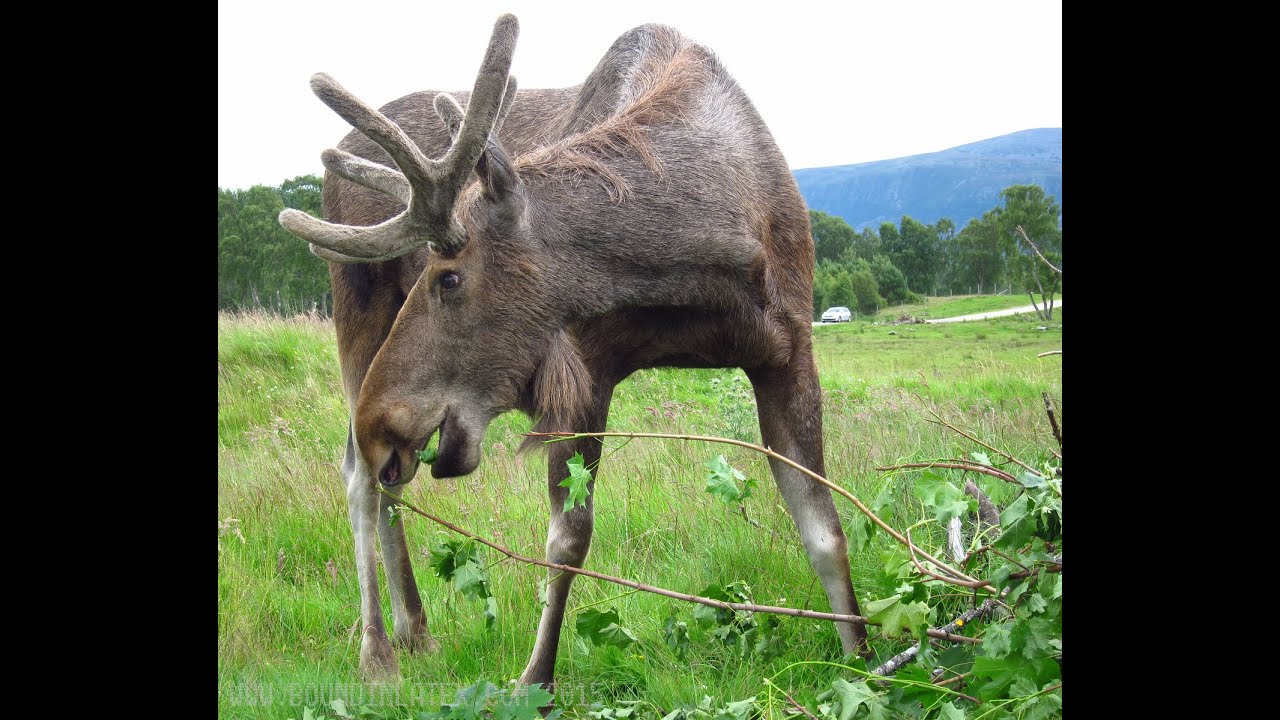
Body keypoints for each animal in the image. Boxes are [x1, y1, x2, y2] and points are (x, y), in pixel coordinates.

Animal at [278, 14, 868, 690]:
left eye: (448, 277)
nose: (379, 420)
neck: (713, 264)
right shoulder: (588, 367)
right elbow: (568, 539)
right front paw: (535, 679)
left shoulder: (789, 351)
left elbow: (825, 530)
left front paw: (864, 661)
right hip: (357, 311)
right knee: (358, 477)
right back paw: (377, 649)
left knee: (388, 482)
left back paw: (415, 629)